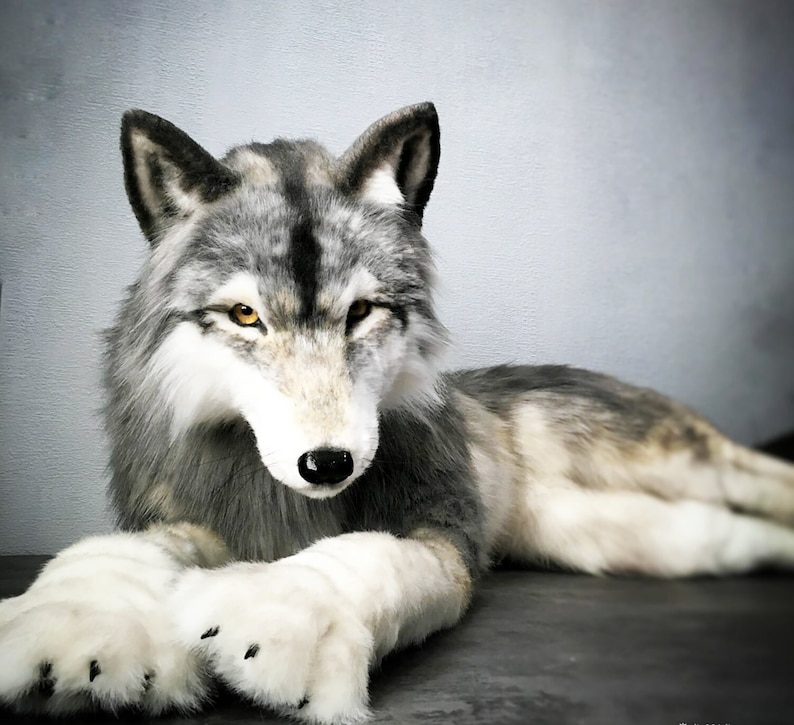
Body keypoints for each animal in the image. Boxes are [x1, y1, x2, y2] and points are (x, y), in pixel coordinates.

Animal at [1, 103, 794, 724]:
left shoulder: (445, 535)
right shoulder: (190, 518)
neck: (291, 505)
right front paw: (74, 629)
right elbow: (117, 551)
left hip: (683, 468)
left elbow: (366, 556)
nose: (327, 464)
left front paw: (278, 618)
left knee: (763, 476)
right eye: (246, 315)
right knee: (732, 539)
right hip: (632, 537)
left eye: (361, 312)